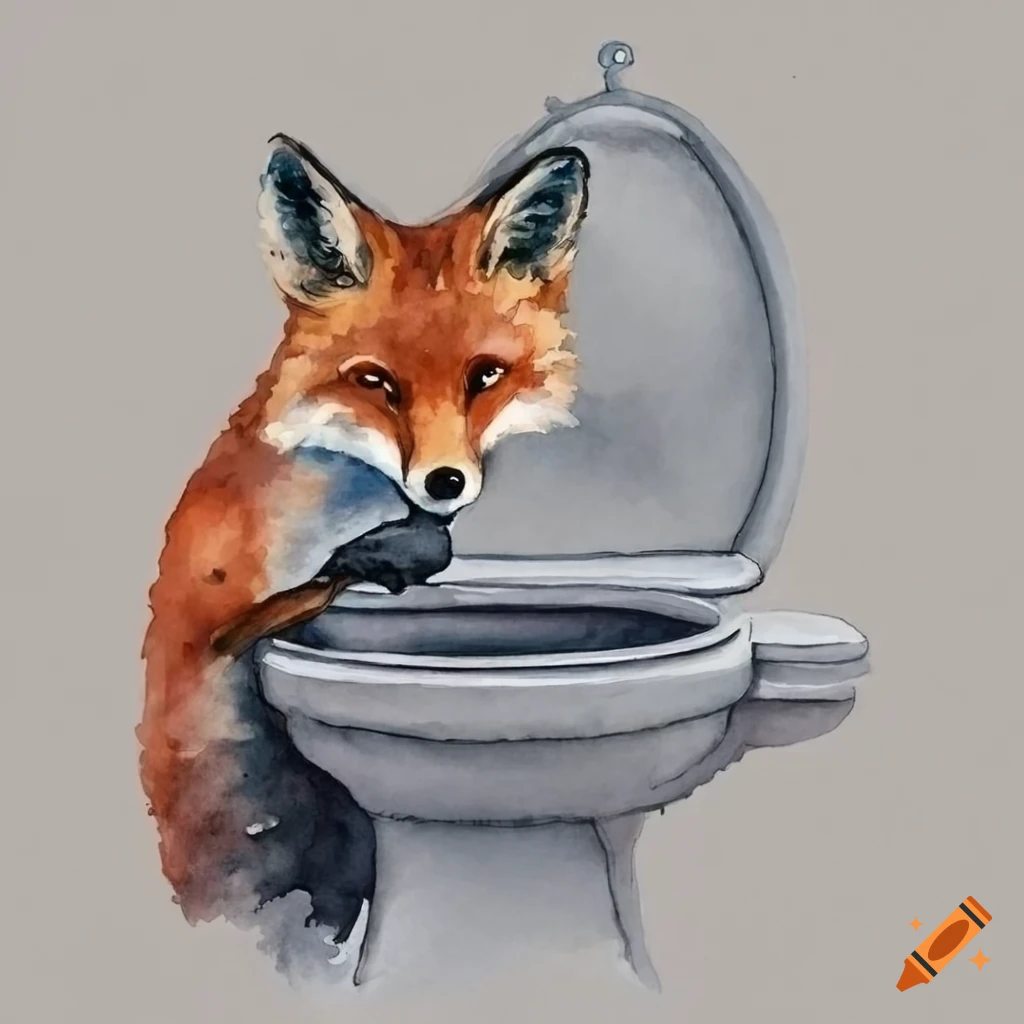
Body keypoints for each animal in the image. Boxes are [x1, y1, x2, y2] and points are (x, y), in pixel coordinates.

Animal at [138, 133, 591, 960]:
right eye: (376, 383)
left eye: (485, 377)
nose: (445, 482)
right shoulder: (210, 622)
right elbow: (286, 598)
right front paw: (379, 553)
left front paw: (400, 548)